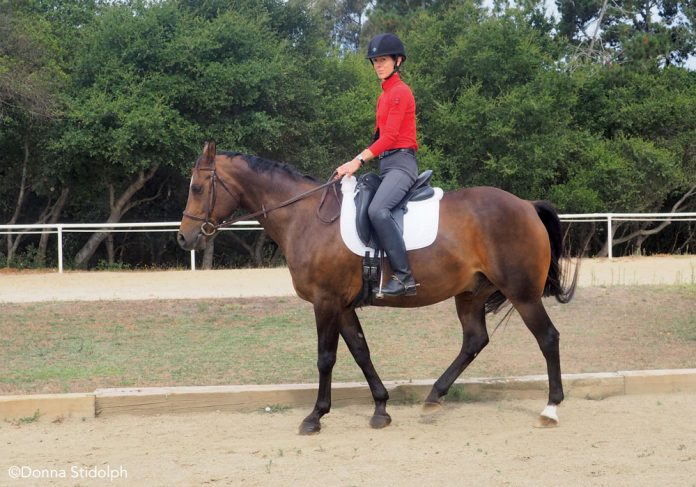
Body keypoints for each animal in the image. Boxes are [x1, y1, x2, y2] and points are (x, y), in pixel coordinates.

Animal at [178, 140, 579, 435]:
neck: (306, 217)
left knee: (548, 338)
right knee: (474, 341)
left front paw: (315, 417)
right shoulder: (342, 305)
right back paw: (434, 396)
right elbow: (360, 352)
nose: (185, 238)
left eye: (197, 187)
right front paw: (381, 408)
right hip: (469, 294)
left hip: (522, 294)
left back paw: (551, 408)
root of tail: (526, 205)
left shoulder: (326, 302)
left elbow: (326, 358)